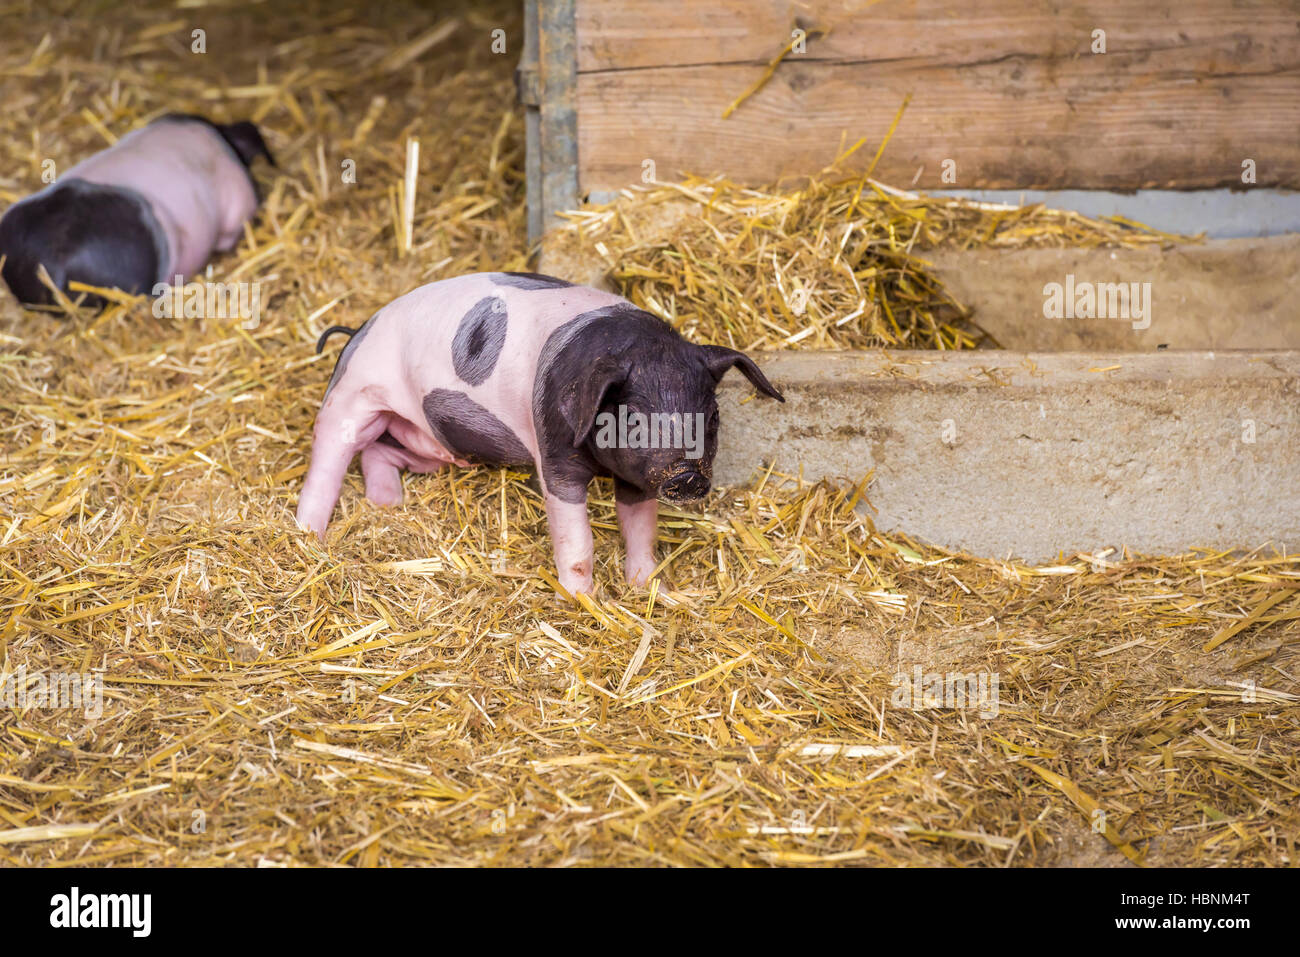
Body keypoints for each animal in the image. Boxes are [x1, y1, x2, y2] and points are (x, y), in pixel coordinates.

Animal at [298, 272, 785, 595]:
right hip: (351, 394)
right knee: (329, 459)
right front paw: (585, 601)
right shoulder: (555, 454)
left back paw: (388, 504)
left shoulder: (636, 477)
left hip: (436, 441)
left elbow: (641, 532)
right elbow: (577, 540)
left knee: (379, 451)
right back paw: (308, 536)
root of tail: (358, 329)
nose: (686, 475)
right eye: (632, 417)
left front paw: (652, 592)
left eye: (713, 416)